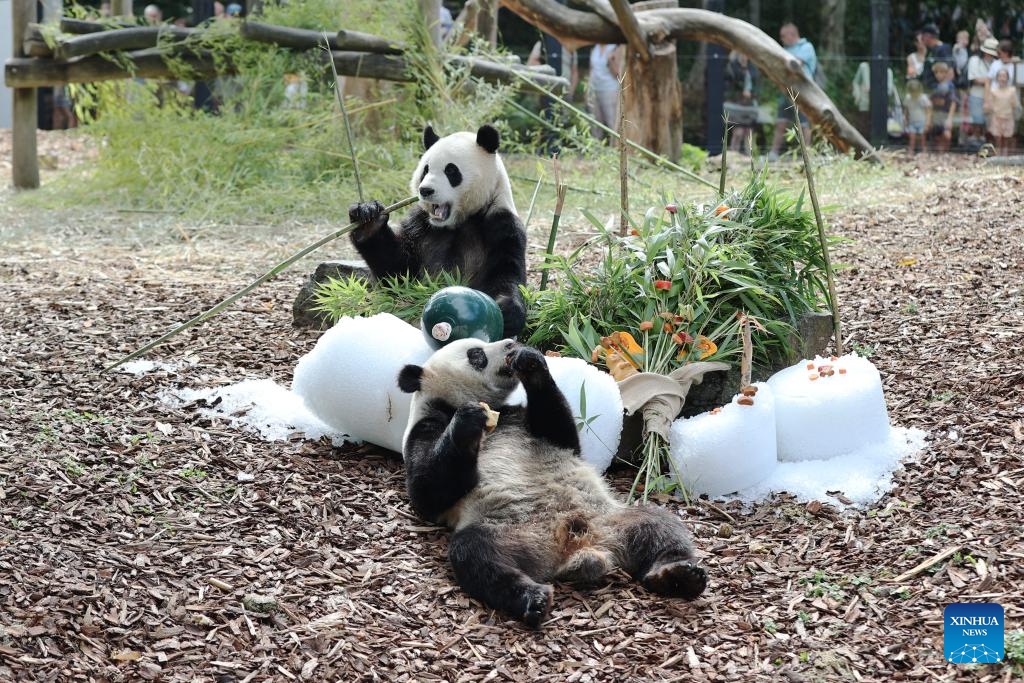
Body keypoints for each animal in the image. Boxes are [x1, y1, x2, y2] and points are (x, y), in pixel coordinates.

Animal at [348, 124, 527, 338]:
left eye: (451, 170)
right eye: (425, 169)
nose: (425, 190)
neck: (459, 221)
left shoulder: (500, 225)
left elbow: (506, 271)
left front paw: (505, 310)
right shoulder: (421, 226)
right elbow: (398, 274)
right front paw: (368, 218)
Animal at [397, 338, 708, 627]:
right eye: (476, 355)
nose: (510, 343)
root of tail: (578, 546)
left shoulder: (525, 419)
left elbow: (561, 433)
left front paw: (530, 362)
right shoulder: (425, 428)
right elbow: (427, 491)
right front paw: (469, 422)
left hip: (613, 519)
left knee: (659, 526)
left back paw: (679, 575)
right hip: (509, 531)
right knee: (477, 555)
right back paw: (531, 598)